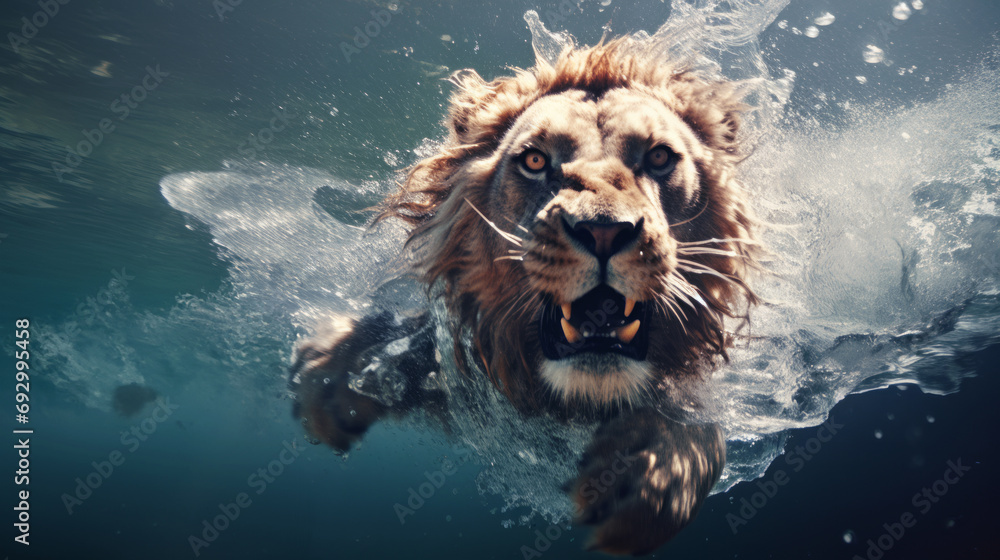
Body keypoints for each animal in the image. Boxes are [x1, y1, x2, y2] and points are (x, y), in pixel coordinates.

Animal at [289, 39, 760, 555]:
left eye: (658, 158)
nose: (603, 230)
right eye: (535, 161)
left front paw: (645, 477)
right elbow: (412, 343)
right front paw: (332, 377)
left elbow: (703, 429)